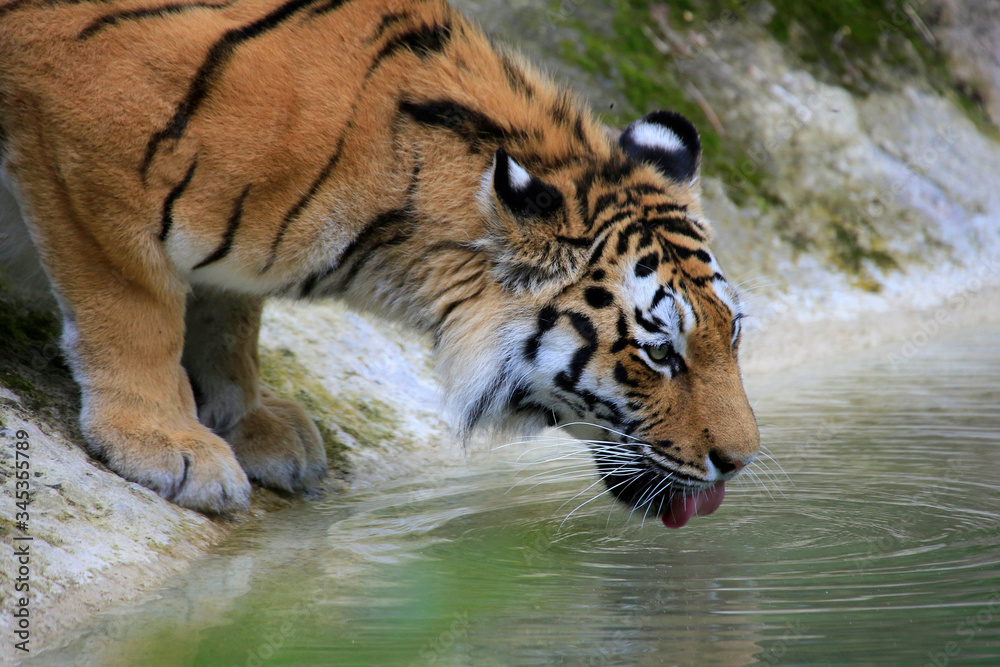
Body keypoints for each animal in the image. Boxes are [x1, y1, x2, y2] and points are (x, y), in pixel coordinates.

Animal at [0, 0, 759, 527]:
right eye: (658, 353)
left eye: (733, 333)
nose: (742, 460)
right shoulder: (89, 157)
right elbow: (134, 311)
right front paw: (169, 444)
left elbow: (228, 314)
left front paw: (251, 421)